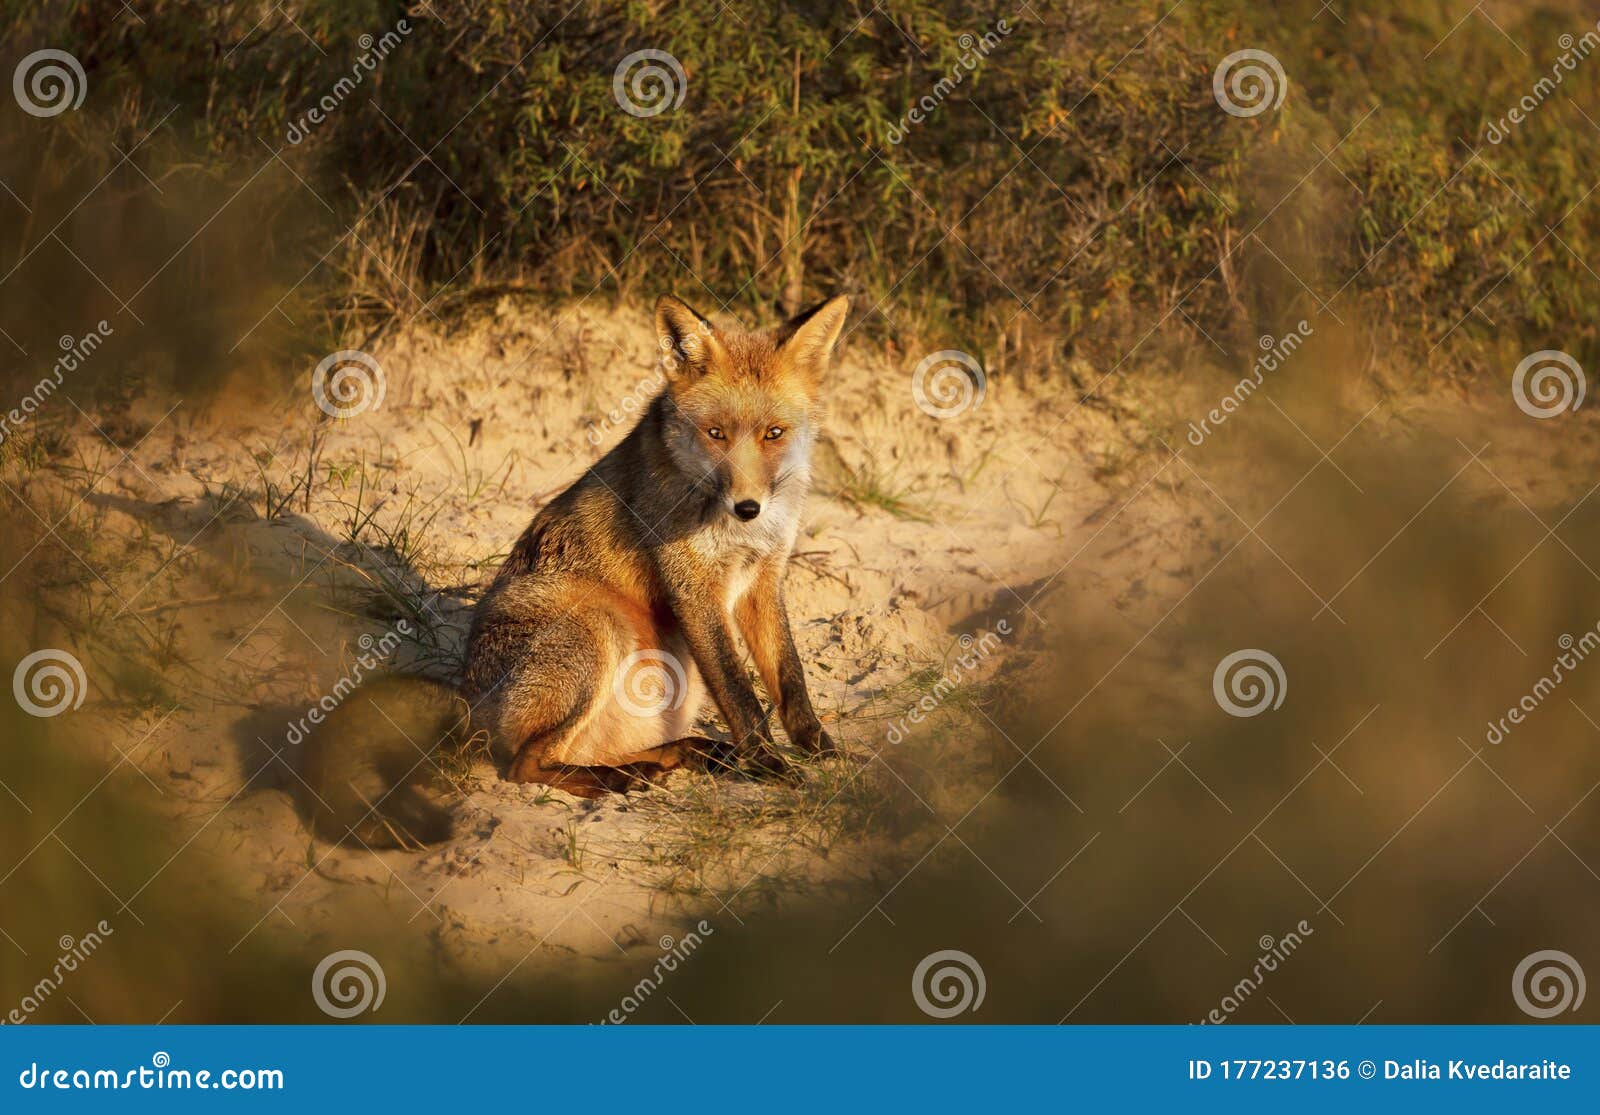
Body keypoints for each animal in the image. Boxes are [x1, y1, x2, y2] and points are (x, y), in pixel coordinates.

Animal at [300, 292, 849, 847]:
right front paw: (769, 765)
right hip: (596, 629)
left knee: (586, 751)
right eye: (716, 434)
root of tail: (471, 699)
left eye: (773, 434)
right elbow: (740, 694)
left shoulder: (764, 579)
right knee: (524, 765)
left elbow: (790, 680)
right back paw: (621, 778)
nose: (747, 508)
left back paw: (678, 756)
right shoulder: (694, 588)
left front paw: (822, 752)